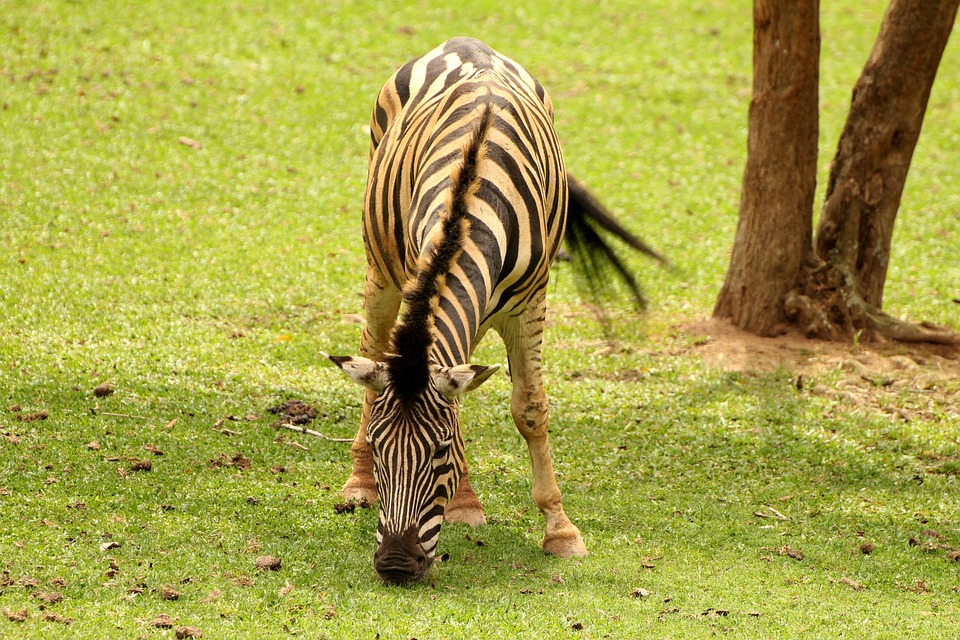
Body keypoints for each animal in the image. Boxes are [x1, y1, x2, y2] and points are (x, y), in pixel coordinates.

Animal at [327, 38, 662, 584]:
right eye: (380, 449)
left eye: (440, 450)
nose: (396, 565)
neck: (470, 201)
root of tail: (462, 42)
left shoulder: (529, 305)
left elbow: (530, 409)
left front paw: (560, 530)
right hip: (381, 268)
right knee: (372, 347)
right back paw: (366, 485)